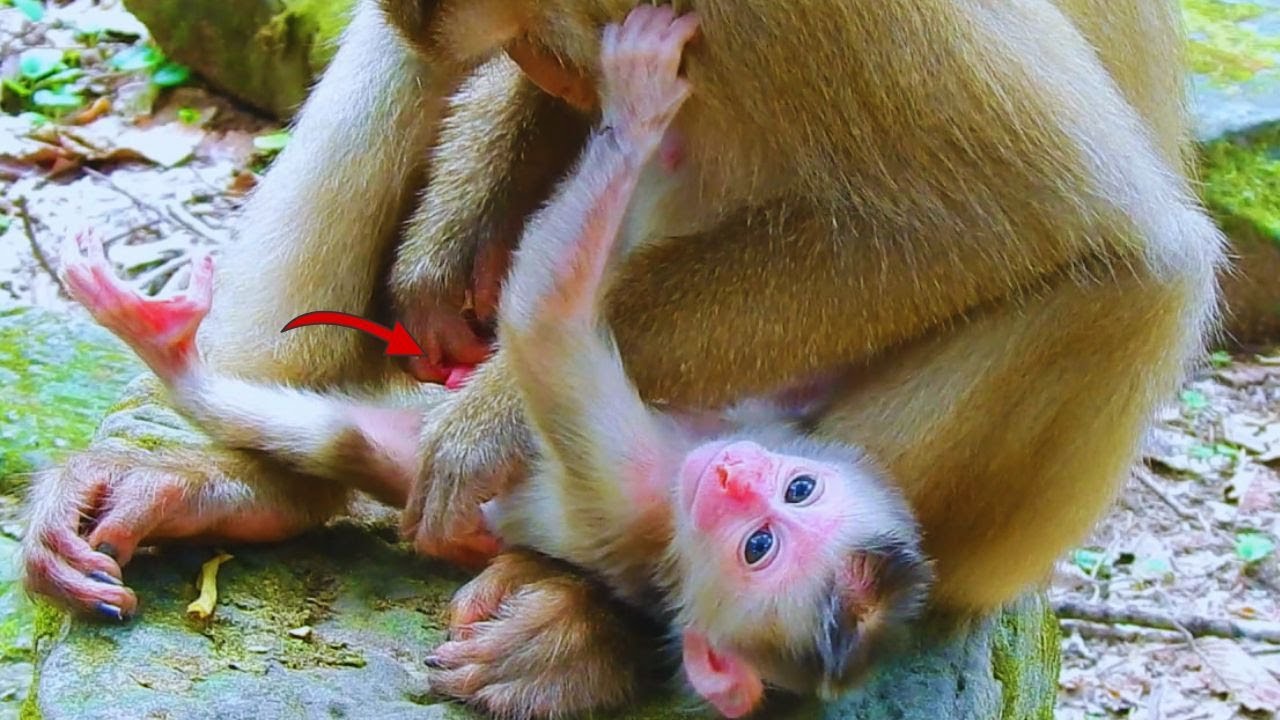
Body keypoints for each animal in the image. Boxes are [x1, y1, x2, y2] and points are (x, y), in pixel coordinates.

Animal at [23, 0, 1226, 716]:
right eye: (526, 45)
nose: (552, 77)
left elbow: (1041, 216)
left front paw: (490, 417)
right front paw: (459, 226)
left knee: (1132, 273)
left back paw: (608, 614)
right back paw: (237, 481)